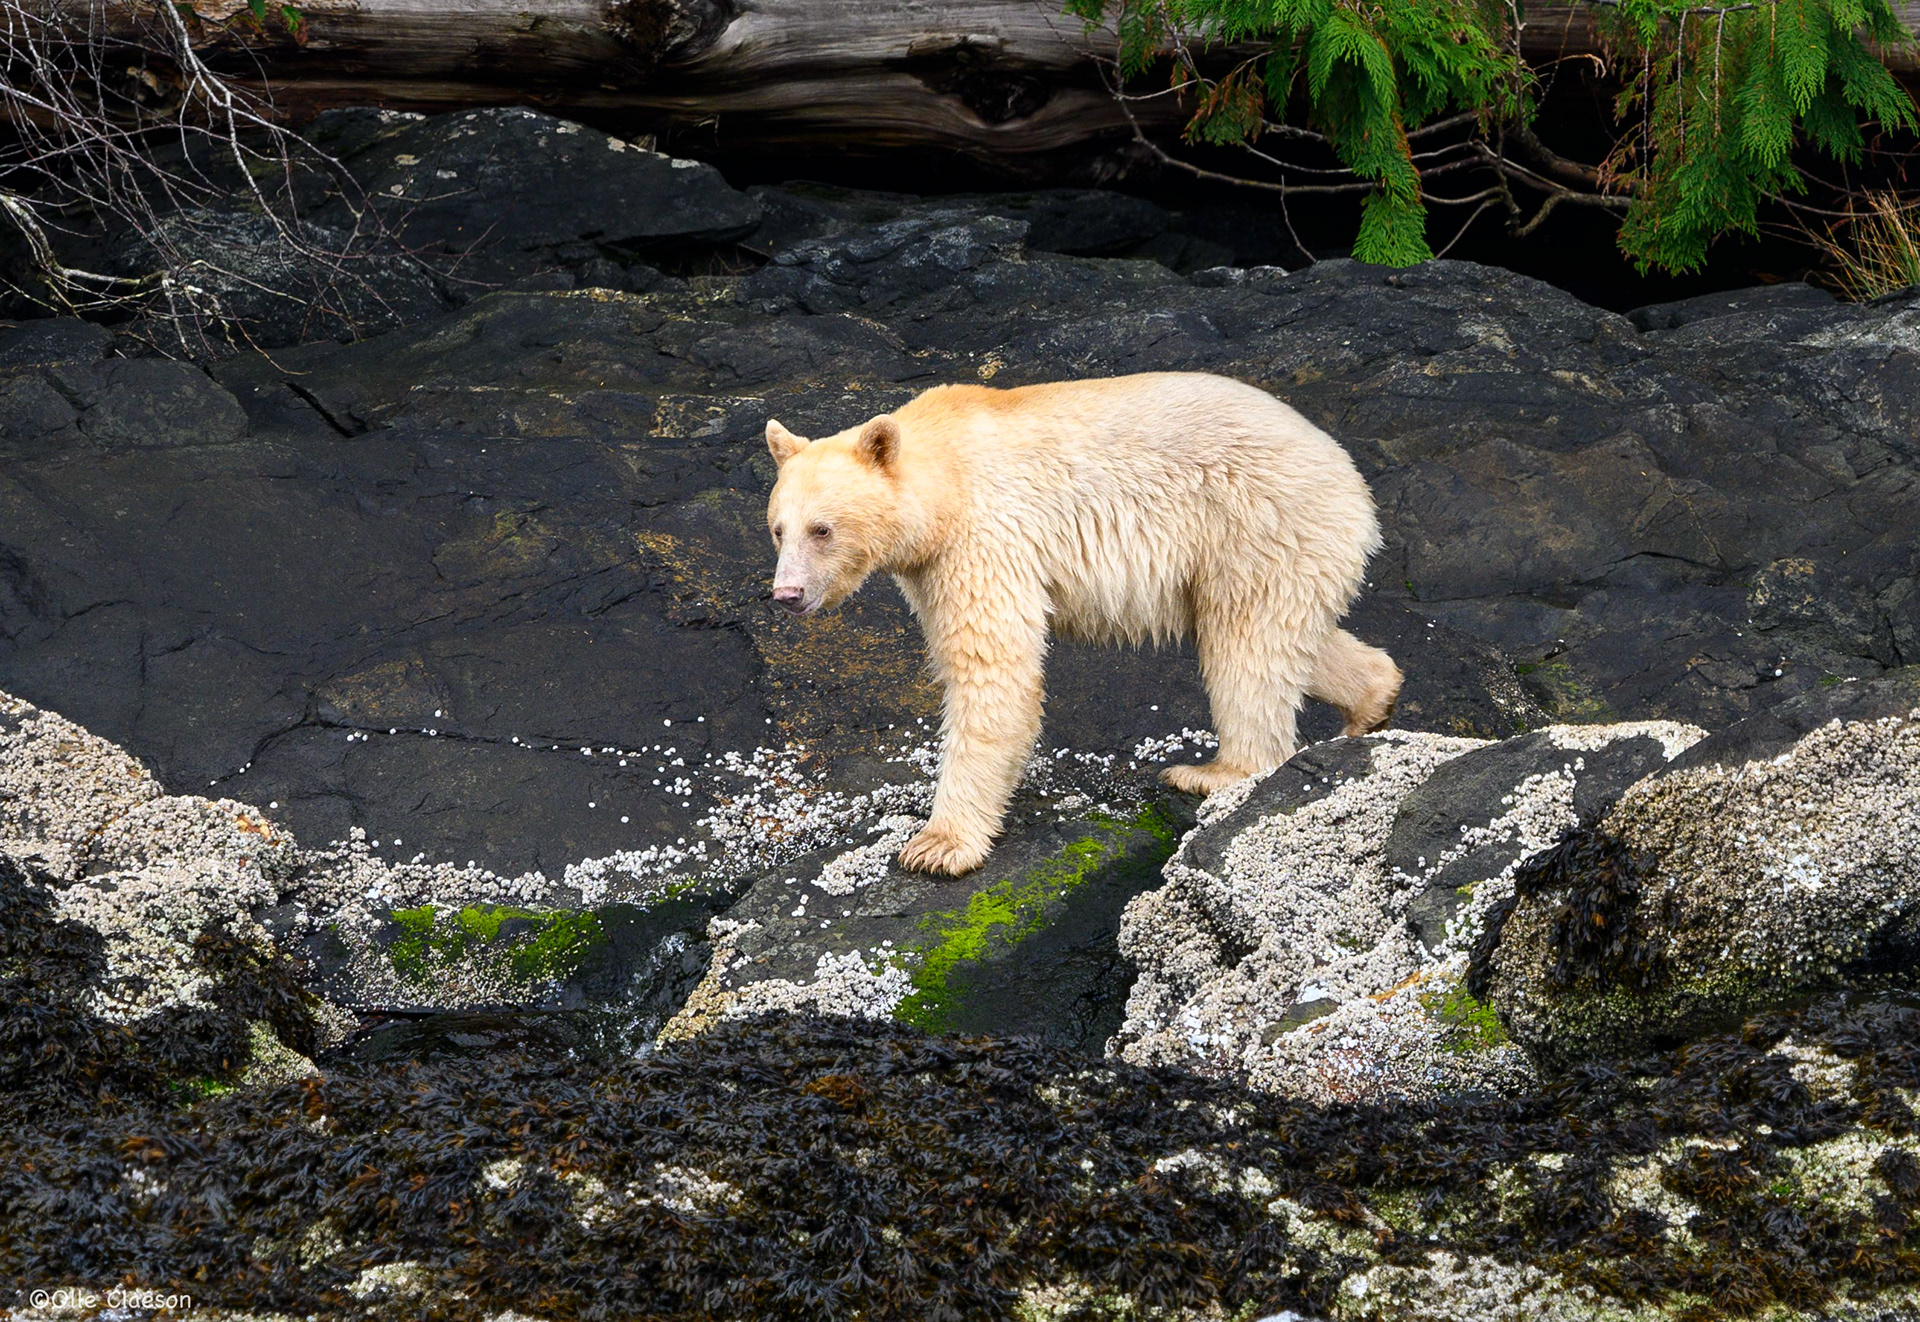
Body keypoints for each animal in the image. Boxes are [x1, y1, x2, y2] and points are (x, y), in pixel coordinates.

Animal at [763, 371, 1401, 877]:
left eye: (822, 529)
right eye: (777, 529)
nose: (786, 595)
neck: (945, 468)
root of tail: (1353, 482)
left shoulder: (985, 536)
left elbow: (992, 669)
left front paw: (937, 845)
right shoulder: (931, 564)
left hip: (1257, 522)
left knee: (1247, 640)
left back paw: (1214, 772)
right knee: (1288, 635)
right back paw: (1372, 703)